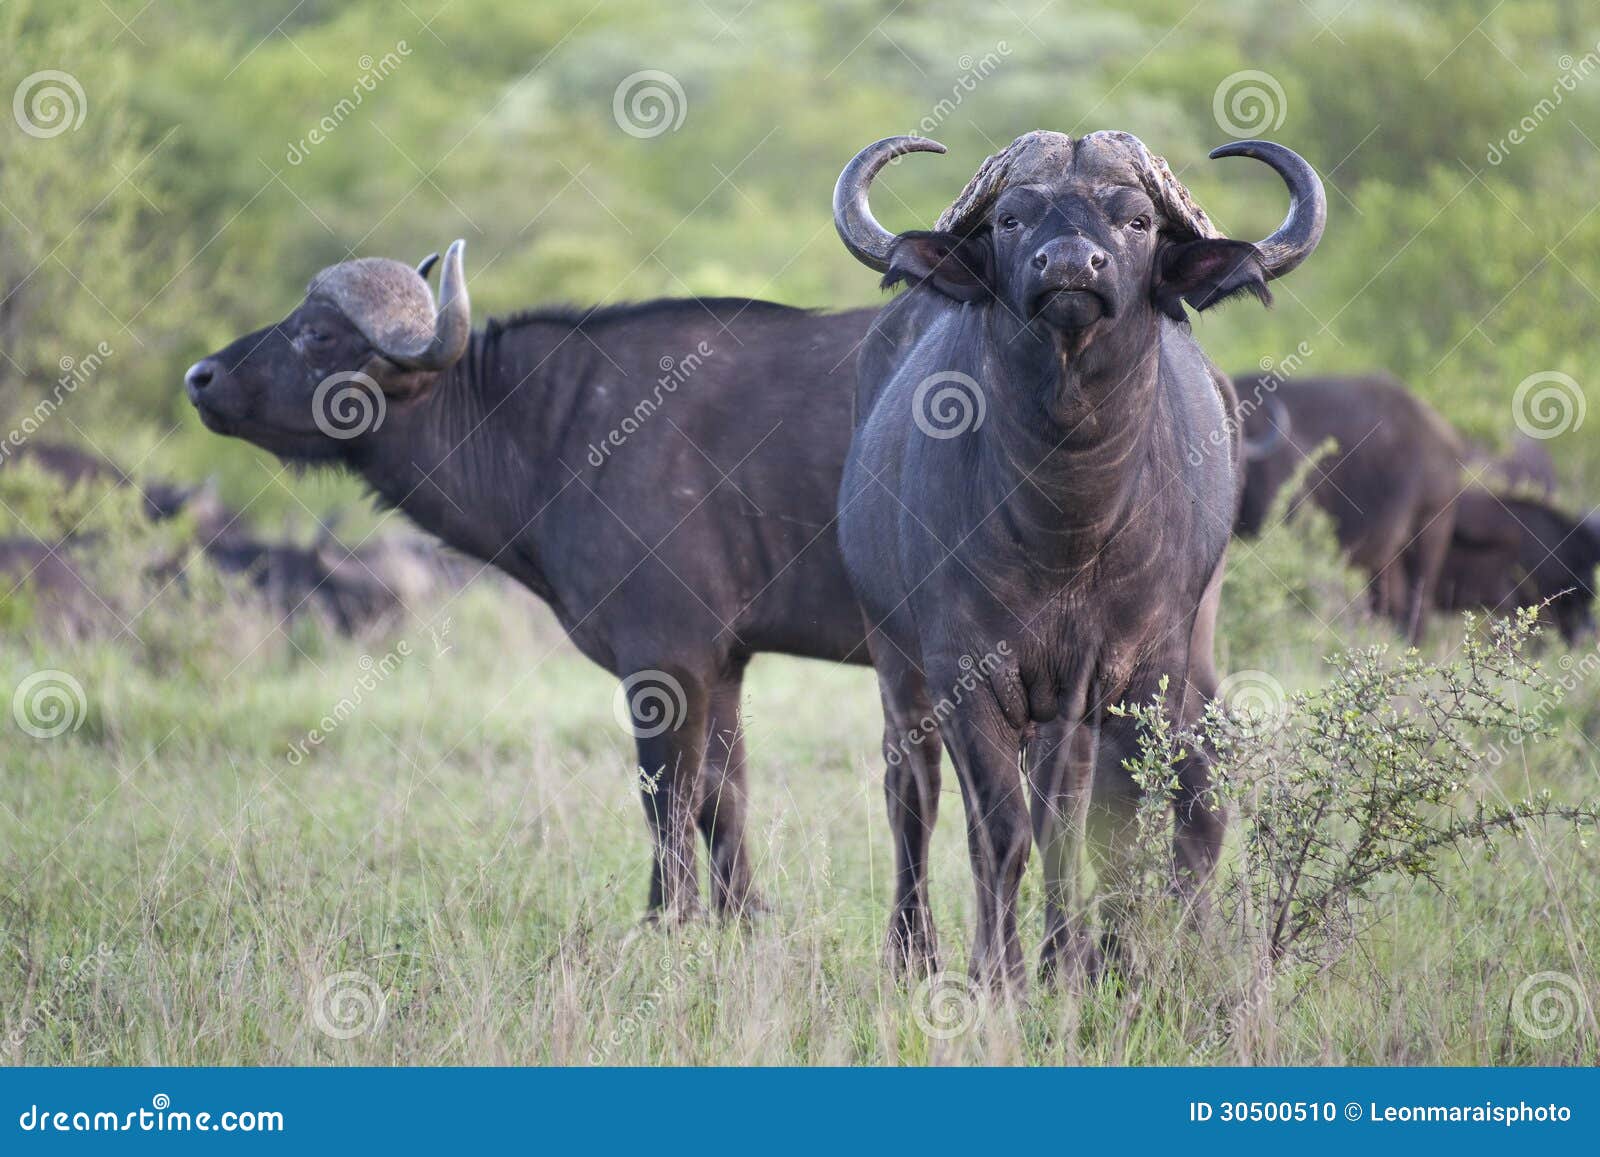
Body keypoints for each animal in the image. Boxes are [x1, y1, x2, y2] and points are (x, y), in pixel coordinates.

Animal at [185, 245, 880, 920]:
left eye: (319, 334)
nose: (200, 377)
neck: (554, 430)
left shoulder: (666, 662)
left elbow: (668, 798)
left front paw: (668, 919)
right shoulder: (725, 663)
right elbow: (724, 796)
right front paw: (742, 916)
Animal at [833, 132, 1324, 983]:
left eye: (1136, 220)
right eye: (1011, 218)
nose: (1069, 265)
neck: (1066, 519)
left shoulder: (1132, 674)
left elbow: (1104, 827)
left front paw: (1105, 967)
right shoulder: (968, 674)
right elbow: (1000, 832)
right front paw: (999, 975)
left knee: (1128, 798)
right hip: (895, 656)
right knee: (912, 791)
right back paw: (914, 951)